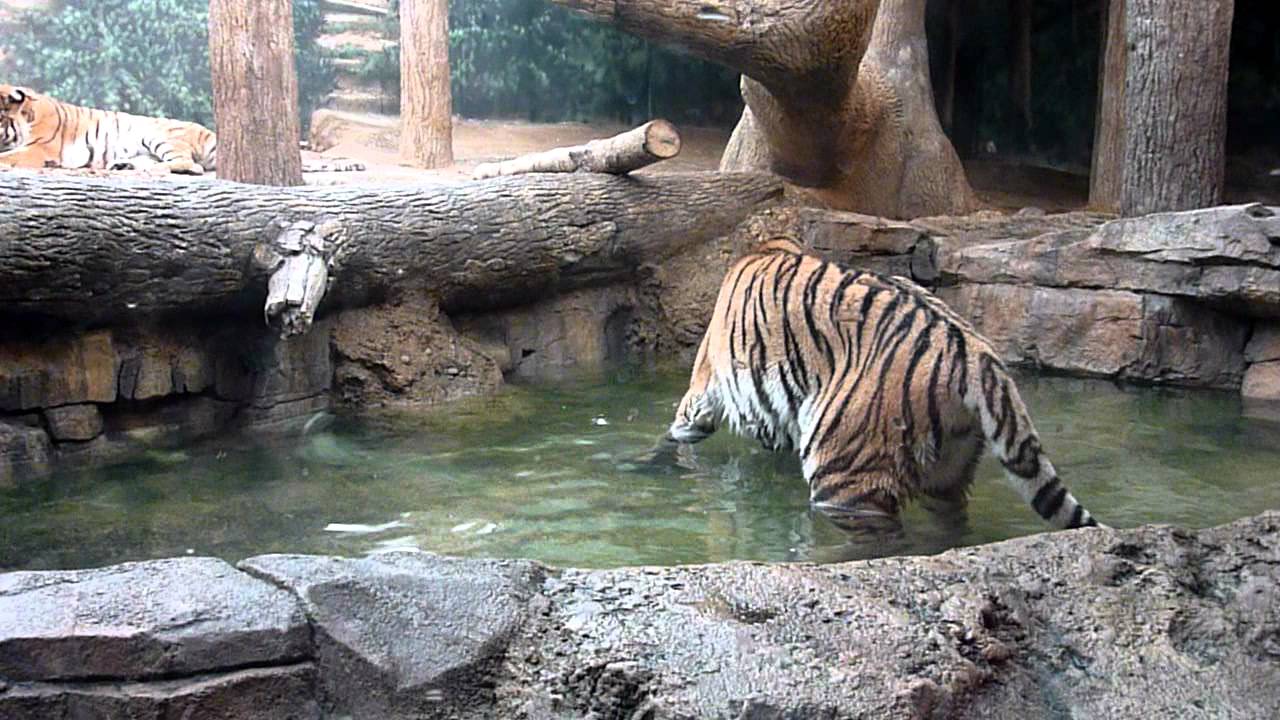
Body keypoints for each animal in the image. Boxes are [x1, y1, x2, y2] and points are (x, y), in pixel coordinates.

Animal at [0, 84, 216, 175]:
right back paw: (122, 166)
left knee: (191, 165)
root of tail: (208, 132)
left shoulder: (39, 148)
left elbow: (7, 156)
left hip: (159, 136)